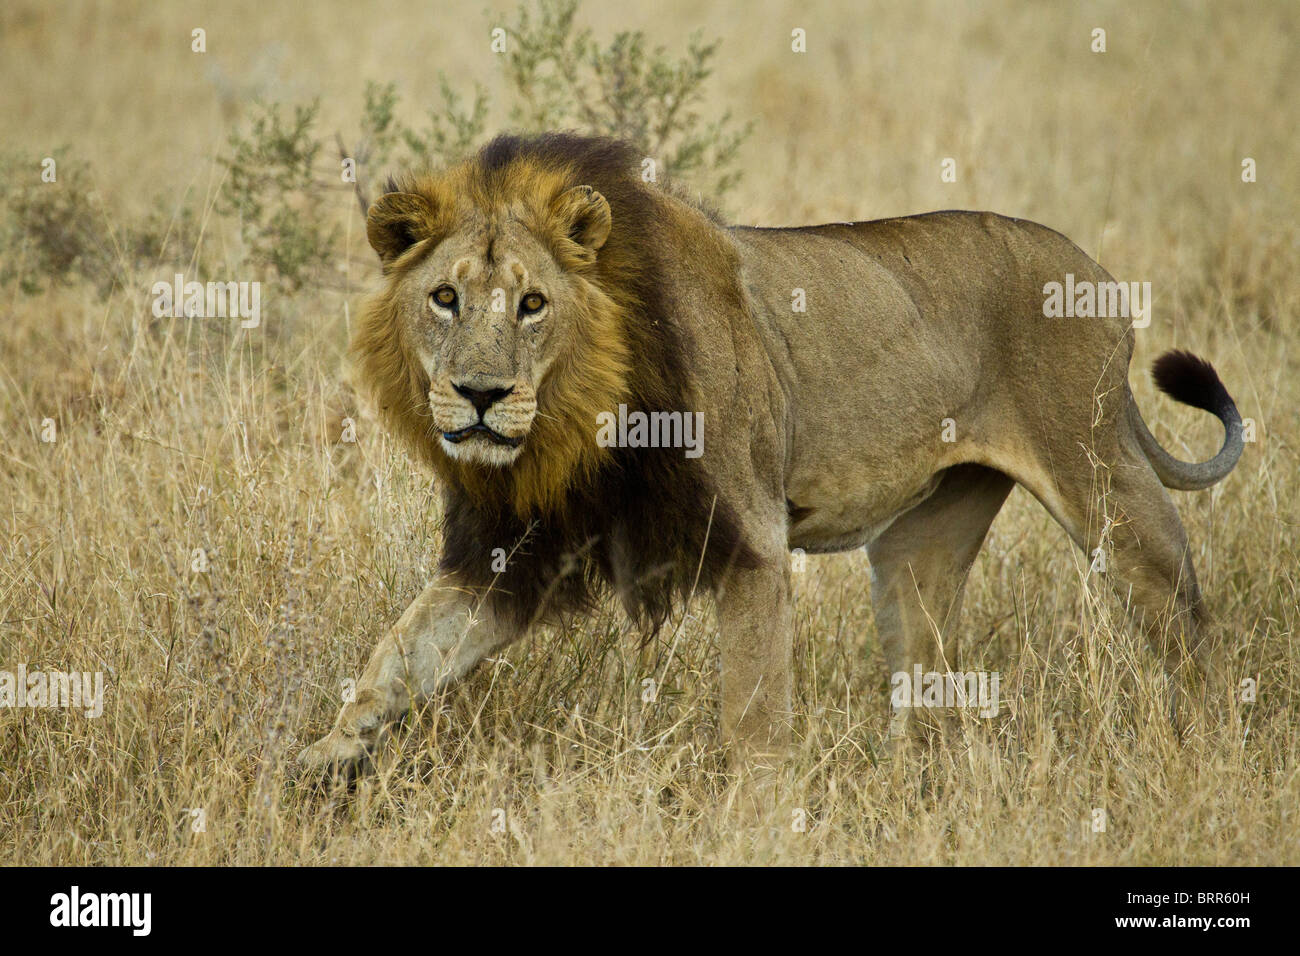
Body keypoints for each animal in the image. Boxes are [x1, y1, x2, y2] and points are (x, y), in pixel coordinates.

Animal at [298, 132, 1243, 776]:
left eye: (532, 304)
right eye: (443, 298)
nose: (481, 394)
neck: (576, 424)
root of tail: (1098, 274)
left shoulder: (749, 538)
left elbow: (753, 720)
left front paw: (752, 820)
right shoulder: (509, 553)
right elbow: (398, 655)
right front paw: (322, 759)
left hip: (1103, 481)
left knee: (1189, 627)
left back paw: (1212, 748)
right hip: (924, 538)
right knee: (927, 675)